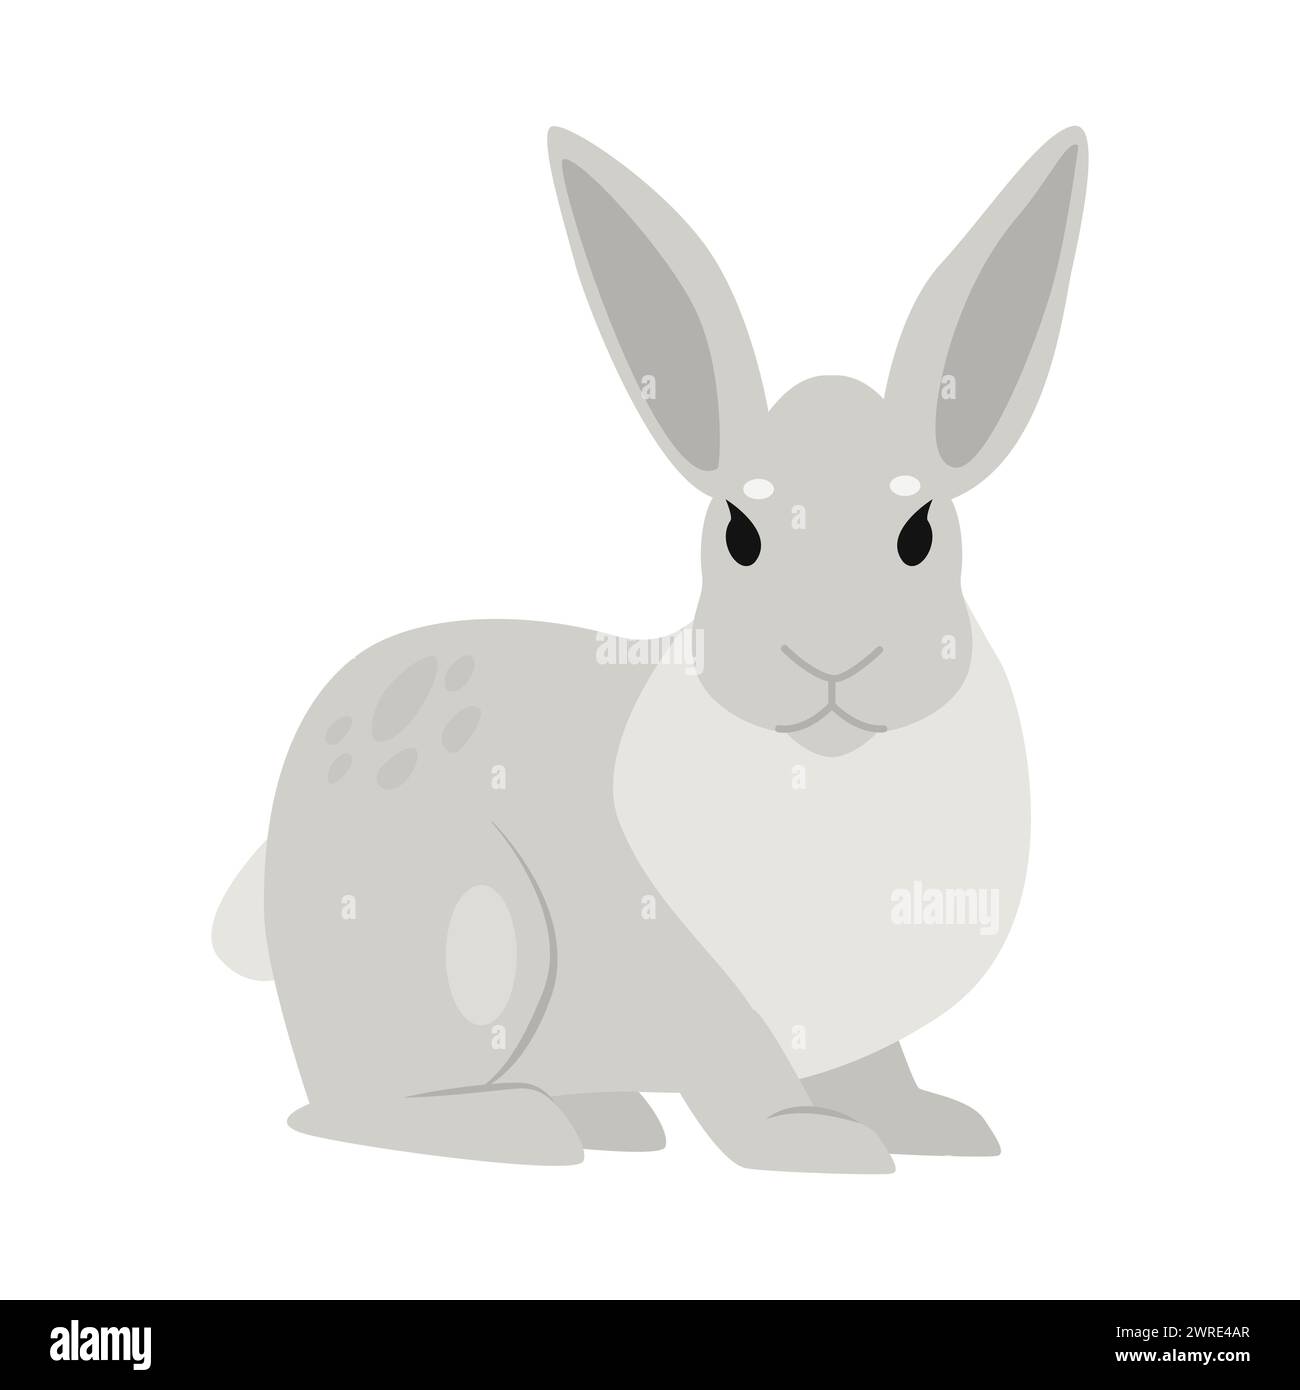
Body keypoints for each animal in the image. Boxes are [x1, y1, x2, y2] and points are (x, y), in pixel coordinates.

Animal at [214, 125, 1087, 1170]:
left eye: (919, 532)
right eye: (739, 534)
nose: (831, 655)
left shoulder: (859, 1033)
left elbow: (879, 1074)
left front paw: (932, 1125)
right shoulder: (703, 991)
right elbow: (745, 1078)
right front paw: (810, 1142)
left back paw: (610, 1117)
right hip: (465, 940)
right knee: (347, 1109)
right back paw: (520, 1127)